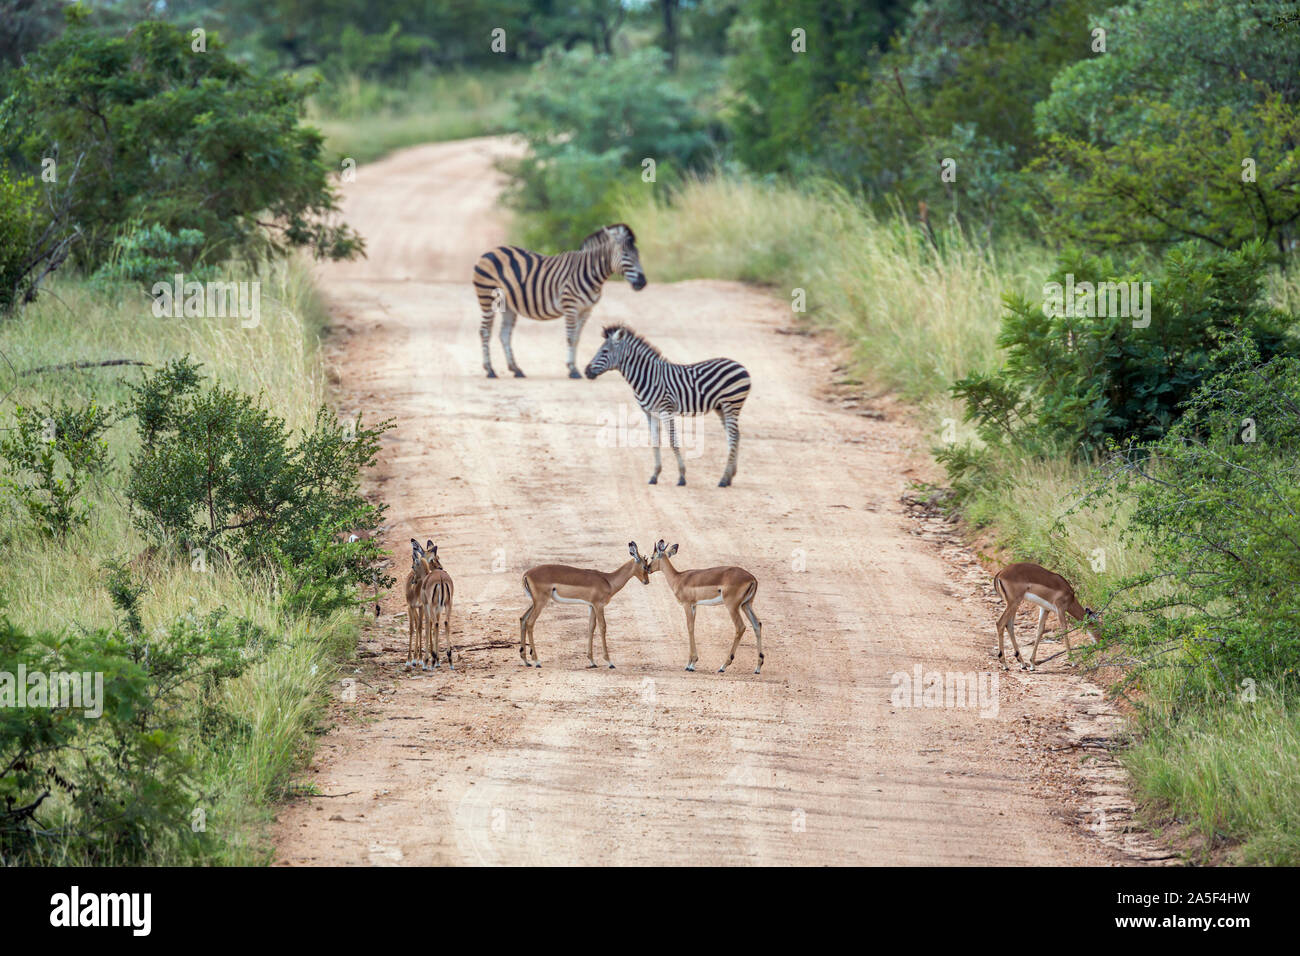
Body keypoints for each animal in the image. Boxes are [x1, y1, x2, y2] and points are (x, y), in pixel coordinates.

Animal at [472, 223, 646, 380]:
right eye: (625, 254)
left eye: (638, 254)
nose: (643, 282)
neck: (590, 272)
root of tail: (489, 252)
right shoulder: (571, 306)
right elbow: (570, 337)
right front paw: (573, 370)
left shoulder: (586, 310)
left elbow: (576, 338)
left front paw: (574, 367)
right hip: (487, 297)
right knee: (485, 331)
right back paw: (490, 370)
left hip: (508, 305)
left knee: (504, 334)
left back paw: (516, 369)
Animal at [518, 542, 652, 668]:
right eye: (645, 566)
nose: (647, 582)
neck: (608, 580)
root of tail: (526, 574)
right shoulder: (599, 606)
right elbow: (603, 627)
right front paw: (609, 662)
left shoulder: (591, 606)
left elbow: (591, 627)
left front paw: (592, 661)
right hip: (541, 602)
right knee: (530, 622)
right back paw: (537, 661)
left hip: (535, 602)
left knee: (522, 619)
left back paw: (526, 661)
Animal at [584, 324, 751, 487]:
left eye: (604, 351)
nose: (586, 372)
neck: (648, 377)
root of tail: (741, 366)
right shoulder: (649, 412)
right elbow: (655, 442)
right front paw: (655, 475)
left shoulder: (666, 409)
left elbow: (672, 441)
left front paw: (682, 477)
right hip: (720, 407)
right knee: (735, 435)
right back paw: (729, 477)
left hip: (731, 404)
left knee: (733, 436)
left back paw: (723, 479)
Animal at [648, 540, 763, 674]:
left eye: (652, 556)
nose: (647, 568)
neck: (678, 578)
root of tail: (752, 578)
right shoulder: (694, 606)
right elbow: (692, 627)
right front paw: (692, 663)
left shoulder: (687, 605)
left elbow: (690, 627)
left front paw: (690, 664)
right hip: (746, 605)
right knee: (757, 624)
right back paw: (758, 667)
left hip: (732, 607)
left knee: (740, 627)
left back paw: (723, 666)